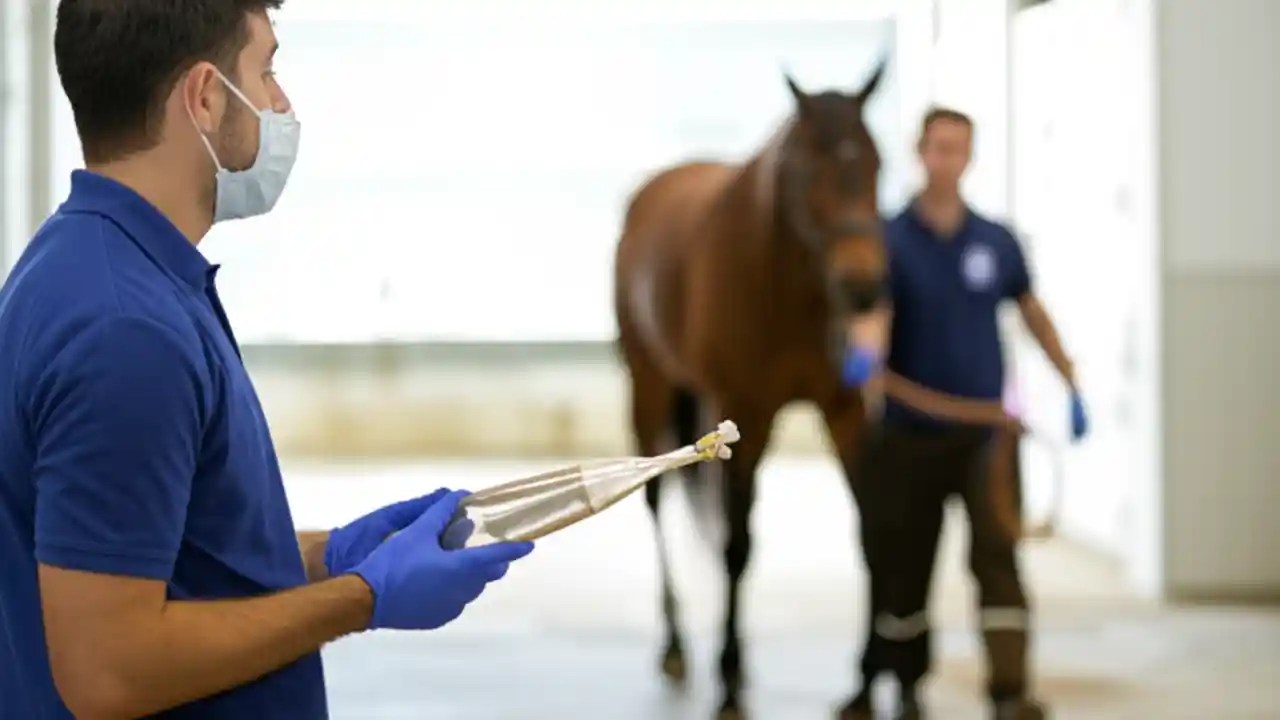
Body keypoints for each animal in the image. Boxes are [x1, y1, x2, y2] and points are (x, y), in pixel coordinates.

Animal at [613, 63, 889, 720]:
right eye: (809, 169)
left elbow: (871, 535)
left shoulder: (844, 410)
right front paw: (731, 679)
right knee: (658, 501)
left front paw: (866, 684)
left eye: (878, 163)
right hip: (648, 381)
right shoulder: (751, 413)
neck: (787, 286)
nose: (862, 286)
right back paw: (676, 647)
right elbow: (739, 545)